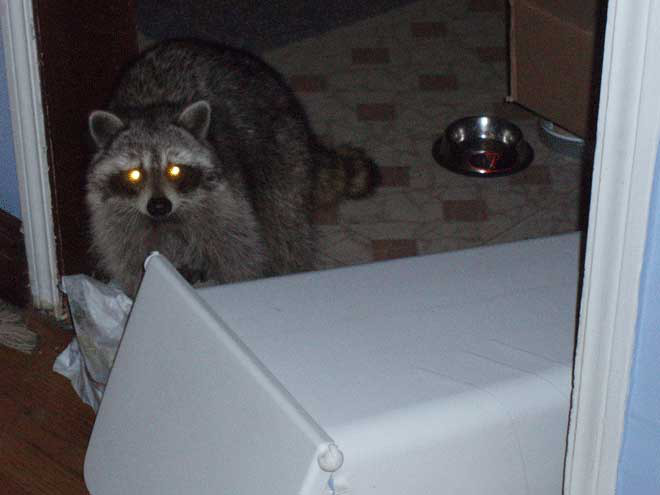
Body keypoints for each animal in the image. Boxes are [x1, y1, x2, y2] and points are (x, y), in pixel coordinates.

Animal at [86, 40, 378, 296]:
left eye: (175, 170)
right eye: (135, 174)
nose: (159, 205)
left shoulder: (224, 198)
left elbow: (240, 253)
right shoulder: (115, 217)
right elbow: (130, 259)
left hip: (282, 153)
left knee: (284, 229)